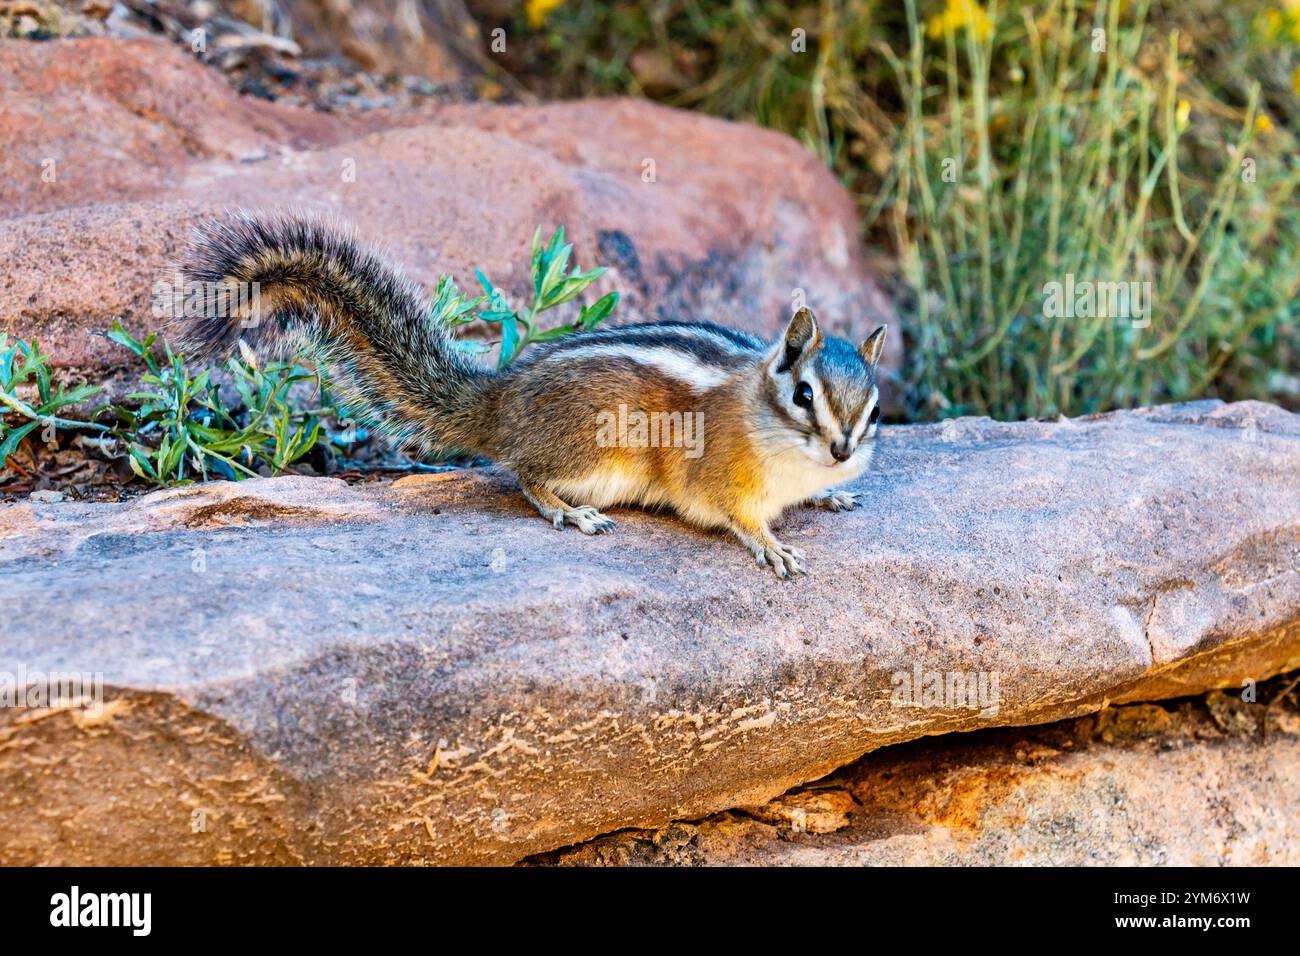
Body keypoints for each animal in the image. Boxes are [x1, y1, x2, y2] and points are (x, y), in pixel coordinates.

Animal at [174, 214, 887, 578]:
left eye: (874, 408)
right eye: (803, 394)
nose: (842, 450)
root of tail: (501, 396)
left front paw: (831, 496)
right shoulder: (720, 478)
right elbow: (735, 516)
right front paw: (771, 545)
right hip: (593, 454)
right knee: (524, 475)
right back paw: (568, 512)